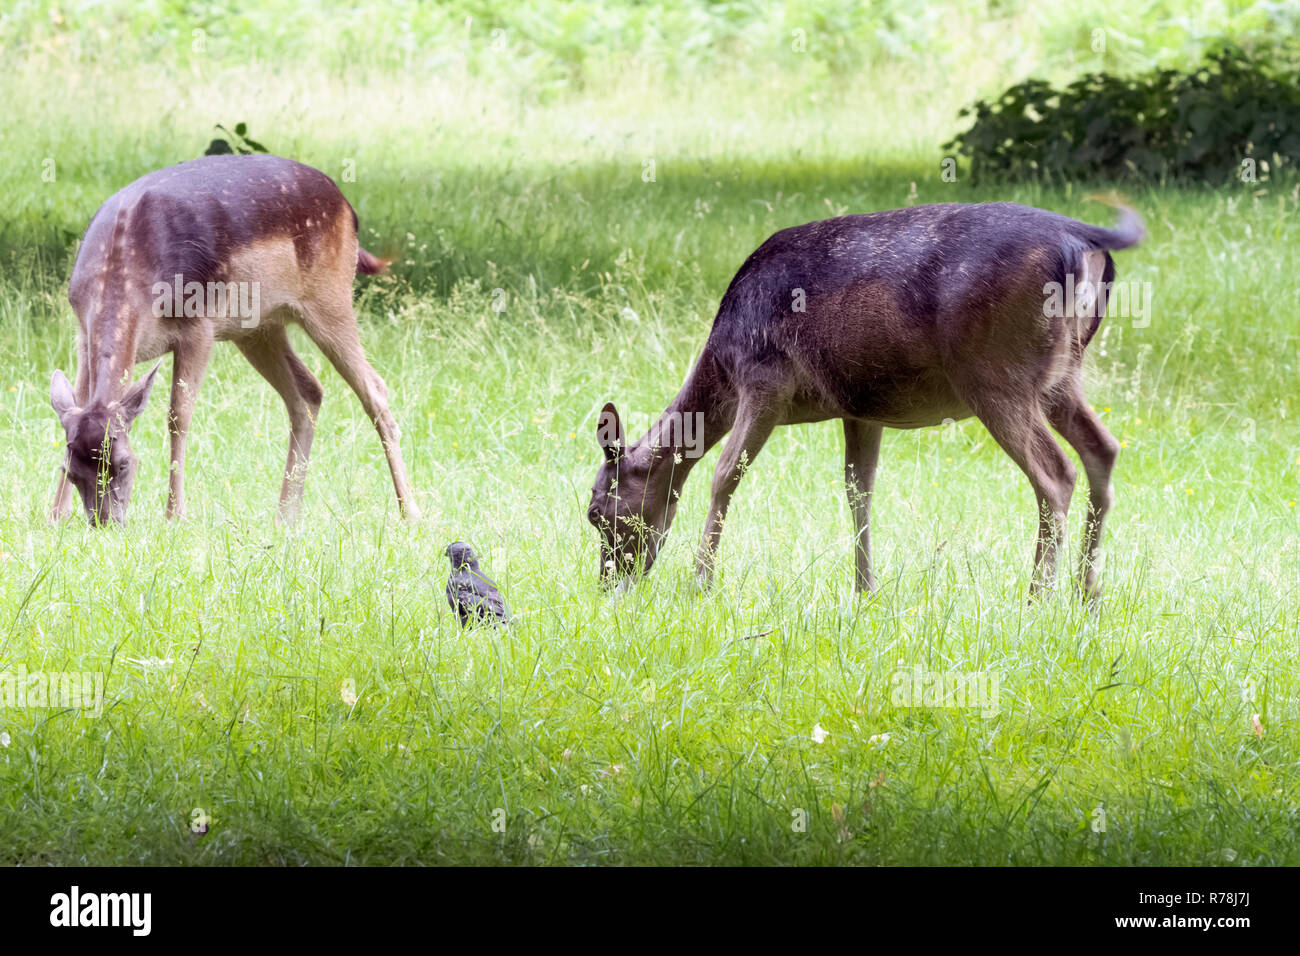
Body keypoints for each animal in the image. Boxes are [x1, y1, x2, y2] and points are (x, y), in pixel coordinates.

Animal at [49, 154, 420, 526]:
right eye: (71, 470)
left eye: (123, 463)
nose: (105, 522)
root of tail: (348, 207)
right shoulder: (82, 332)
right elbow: (79, 399)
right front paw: (54, 515)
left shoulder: (199, 325)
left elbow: (178, 415)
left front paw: (175, 515)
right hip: (259, 328)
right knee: (308, 391)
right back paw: (286, 515)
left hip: (330, 295)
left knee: (374, 388)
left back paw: (410, 511)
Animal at [587, 200, 1143, 601]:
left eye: (595, 511)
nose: (608, 585)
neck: (721, 363)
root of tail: (1085, 239)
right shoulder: (860, 406)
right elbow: (859, 489)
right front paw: (865, 589)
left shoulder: (764, 380)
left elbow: (726, 474)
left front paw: (700, 585)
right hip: (1061, 374)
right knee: (1103, 448)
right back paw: (1087, 594)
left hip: (996, 373)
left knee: (1056, 472)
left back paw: (1037, 597)